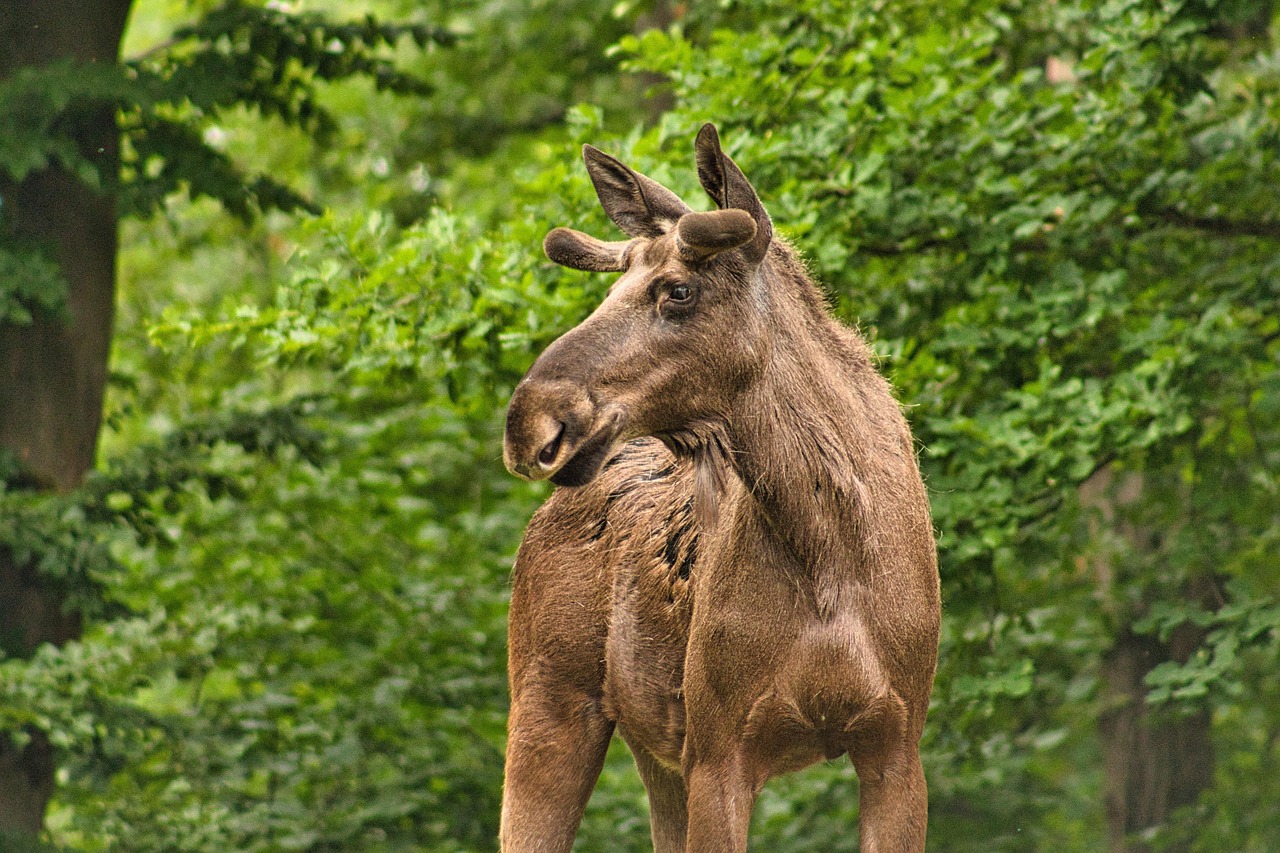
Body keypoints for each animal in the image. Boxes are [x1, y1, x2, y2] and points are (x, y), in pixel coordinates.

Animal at [500, 124, 941, 853]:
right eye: (610, 291)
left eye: (678, 290)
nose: (529, 419)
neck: (830, 548)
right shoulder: (719, 751)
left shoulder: (897, 742)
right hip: (551, 701)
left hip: (655, 754)